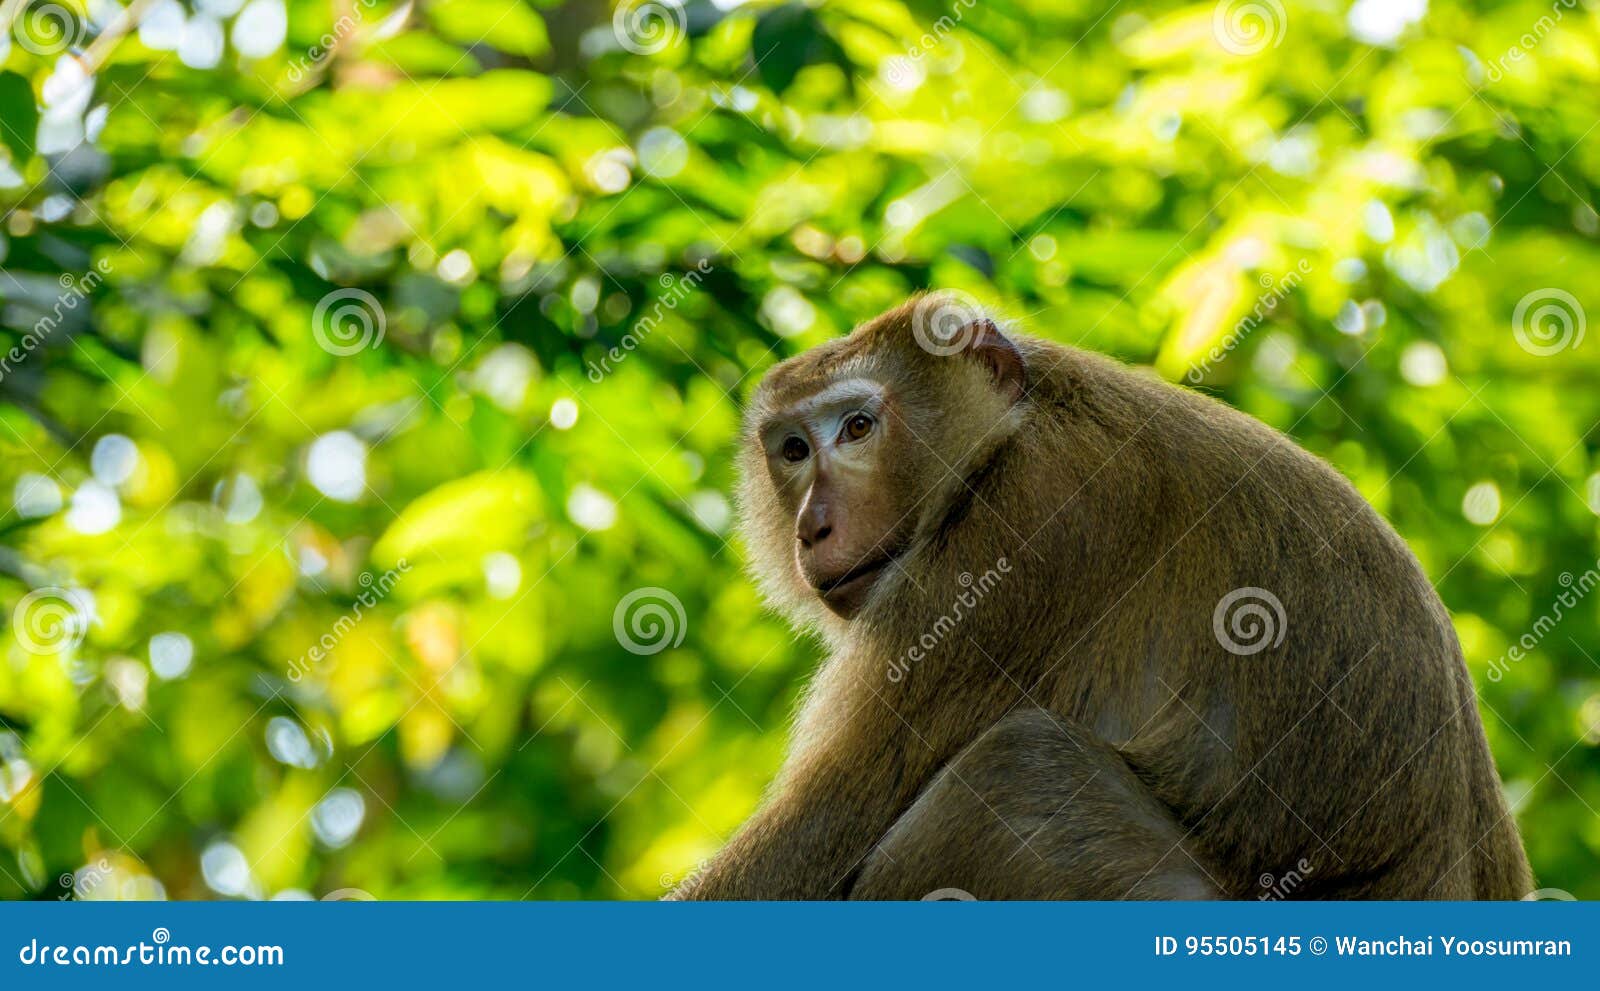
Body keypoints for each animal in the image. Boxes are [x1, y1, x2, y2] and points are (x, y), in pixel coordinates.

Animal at [669, 293, 1531, 900]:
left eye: (856, 427)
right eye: (792, 449)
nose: (813, 525)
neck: (1012, 433)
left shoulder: (1012, 546)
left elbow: (812, 841)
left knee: (1018, 769)